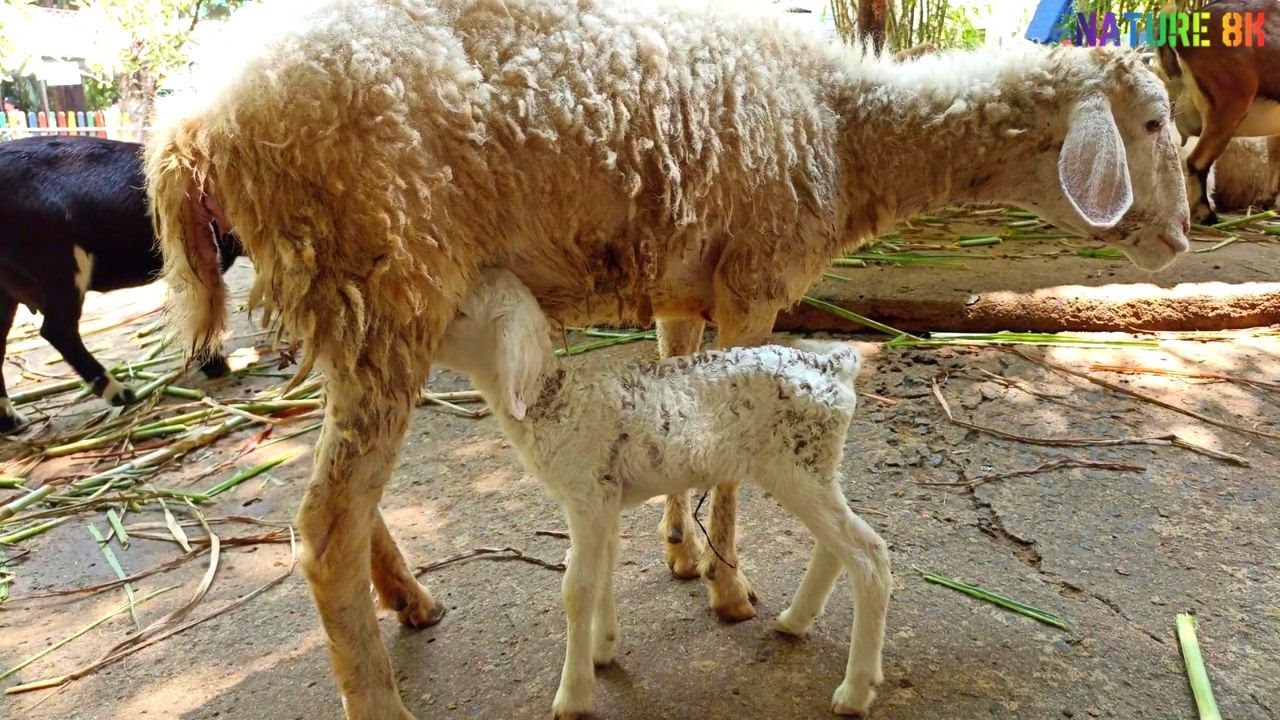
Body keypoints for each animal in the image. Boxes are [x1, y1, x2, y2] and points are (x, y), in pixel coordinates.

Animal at [433, 267, 889, 719]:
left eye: (460, 313)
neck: (555, 402)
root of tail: (834, 365)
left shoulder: (586, 498)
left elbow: (577, 588)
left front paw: (573, 695)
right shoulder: (605, 502)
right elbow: (604, 570)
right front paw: (603, 648)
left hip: (798, 467)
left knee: (868, 556)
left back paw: (854, 690)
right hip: (813, 470)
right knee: (837, 545)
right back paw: (795, 620)